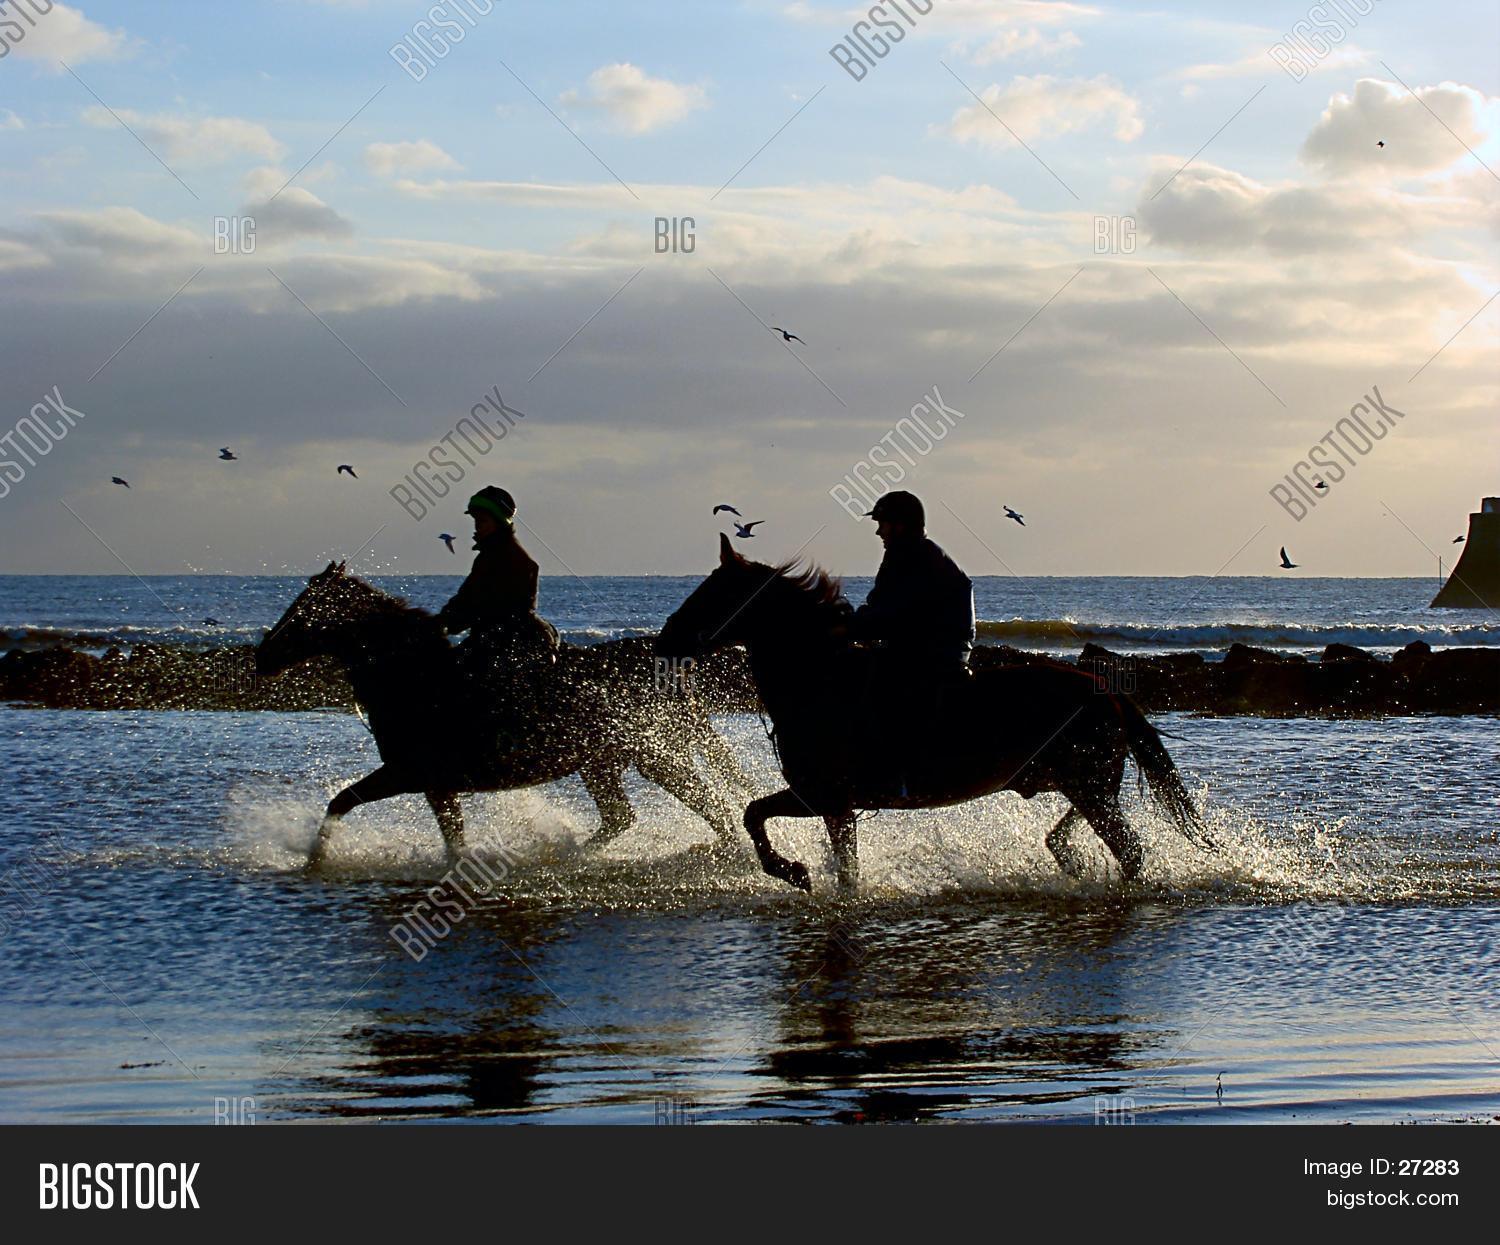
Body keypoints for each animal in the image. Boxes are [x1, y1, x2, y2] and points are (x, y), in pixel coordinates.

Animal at [256, 561, 747, 865]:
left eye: (303, 609)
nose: (262, 657)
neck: (413, 677)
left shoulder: (406, 774)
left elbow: (342, 802)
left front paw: (316, 858)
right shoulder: (435, 785)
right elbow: (452, 837)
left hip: (647, 753)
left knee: (708, 802)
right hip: (604, 762)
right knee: (624, 815)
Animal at [655, 534, 1215, 893]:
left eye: (713, 593)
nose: (665, 642)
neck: (819, 681)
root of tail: (1106, 691)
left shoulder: (823, 795)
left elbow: (753, 816)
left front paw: (793, 871)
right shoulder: (835, 806)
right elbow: (838, 864)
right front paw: (813, 878)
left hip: (1091, 787)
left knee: (1131, 851)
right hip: (1085, 784)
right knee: (1076, 835)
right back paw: (1071, 861)